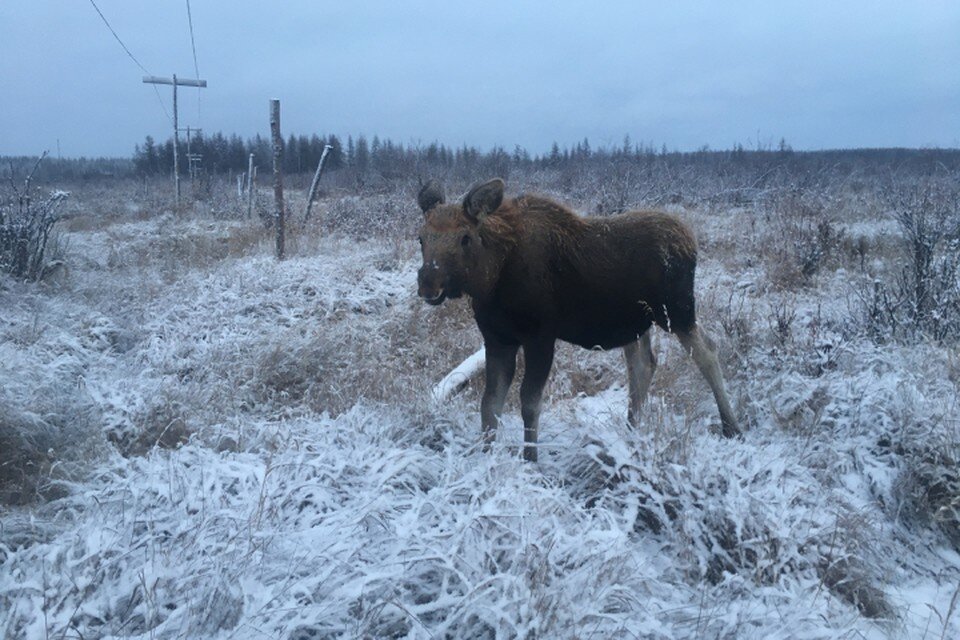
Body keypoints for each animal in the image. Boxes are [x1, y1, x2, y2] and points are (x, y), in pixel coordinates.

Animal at [416, 178, 739, 462]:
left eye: (465, 237)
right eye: (420, 237)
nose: (428, 284)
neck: (492, 278)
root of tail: (691, 240)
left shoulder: (540, 338)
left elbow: (529, 403)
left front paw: (531, 459)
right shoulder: (498, 340)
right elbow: (489, 405)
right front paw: (484, 454)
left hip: (677, 311)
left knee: (707, 352)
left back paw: (731, 426)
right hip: (637, 322)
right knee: (644, 365)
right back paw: (632, 429)